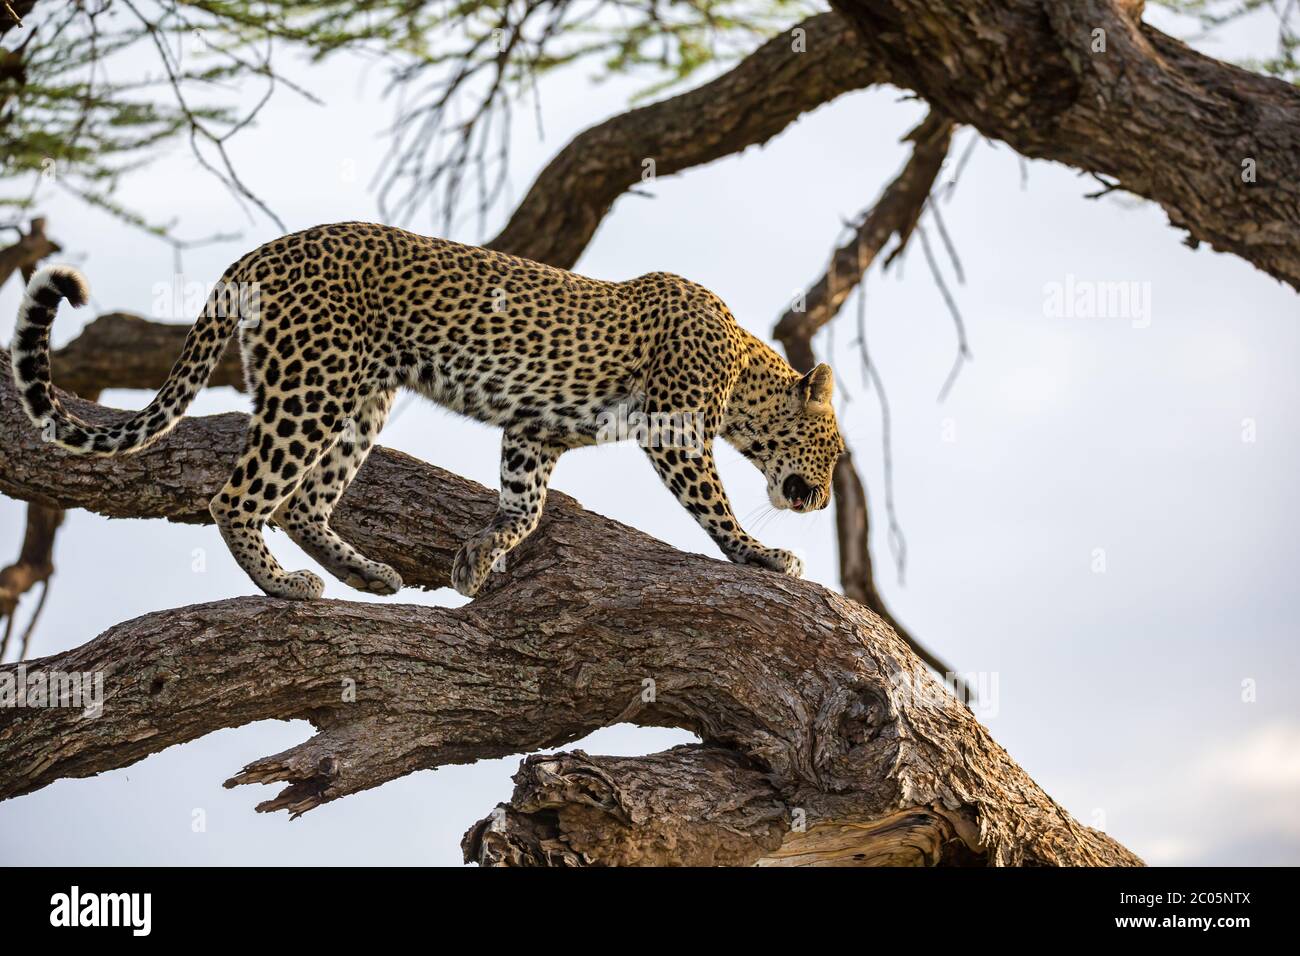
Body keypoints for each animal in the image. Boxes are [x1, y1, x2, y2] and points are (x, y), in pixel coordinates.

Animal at [10, 222, 845, 600]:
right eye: (834, 455)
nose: (825, 500)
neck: (745, 367)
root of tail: (262, 253)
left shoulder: (535, 432)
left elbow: (525, 505)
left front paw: (482, 553)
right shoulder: (676, 430)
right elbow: (716, 509)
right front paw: (765, 556)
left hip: (360, 399)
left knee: (305, 502)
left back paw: (366, 574)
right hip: (313, 389)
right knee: (239, 496)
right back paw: (282, 585)